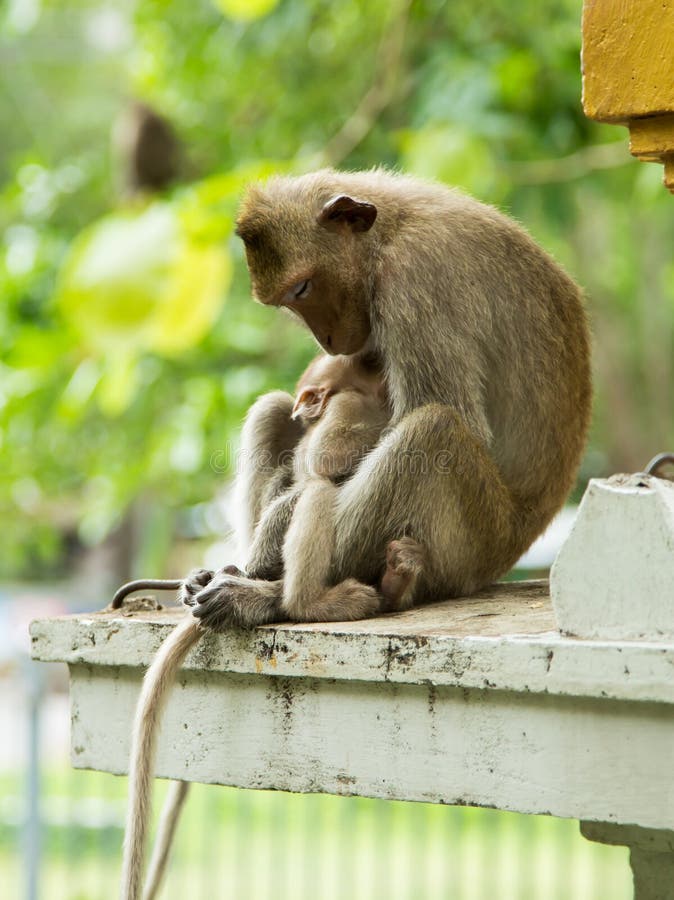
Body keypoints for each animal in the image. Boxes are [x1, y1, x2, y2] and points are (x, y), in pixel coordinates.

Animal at [183, 168, 591, 630]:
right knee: (272, 409)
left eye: (302, 288)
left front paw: (281, 518)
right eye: (286, 300)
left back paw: (288, 599)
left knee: (432, 429)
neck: (388, 232)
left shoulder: (414, 279)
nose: (325, 339)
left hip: (472, 545)